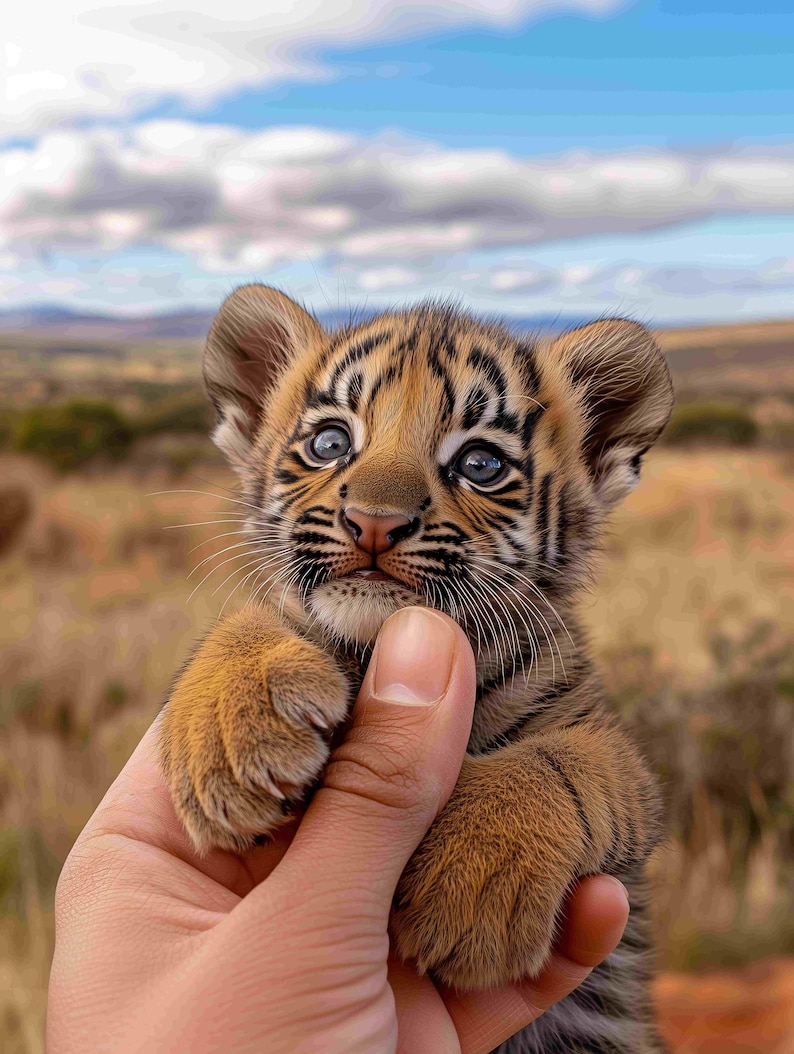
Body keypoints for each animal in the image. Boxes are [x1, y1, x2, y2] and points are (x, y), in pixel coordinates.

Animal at [159, 284, 673, 1053]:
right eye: (331, 443)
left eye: (481, 464)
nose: (374, 522)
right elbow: (256, 616)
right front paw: (228, 737)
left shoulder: (620, 758)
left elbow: (565, 764)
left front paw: (473, 888)